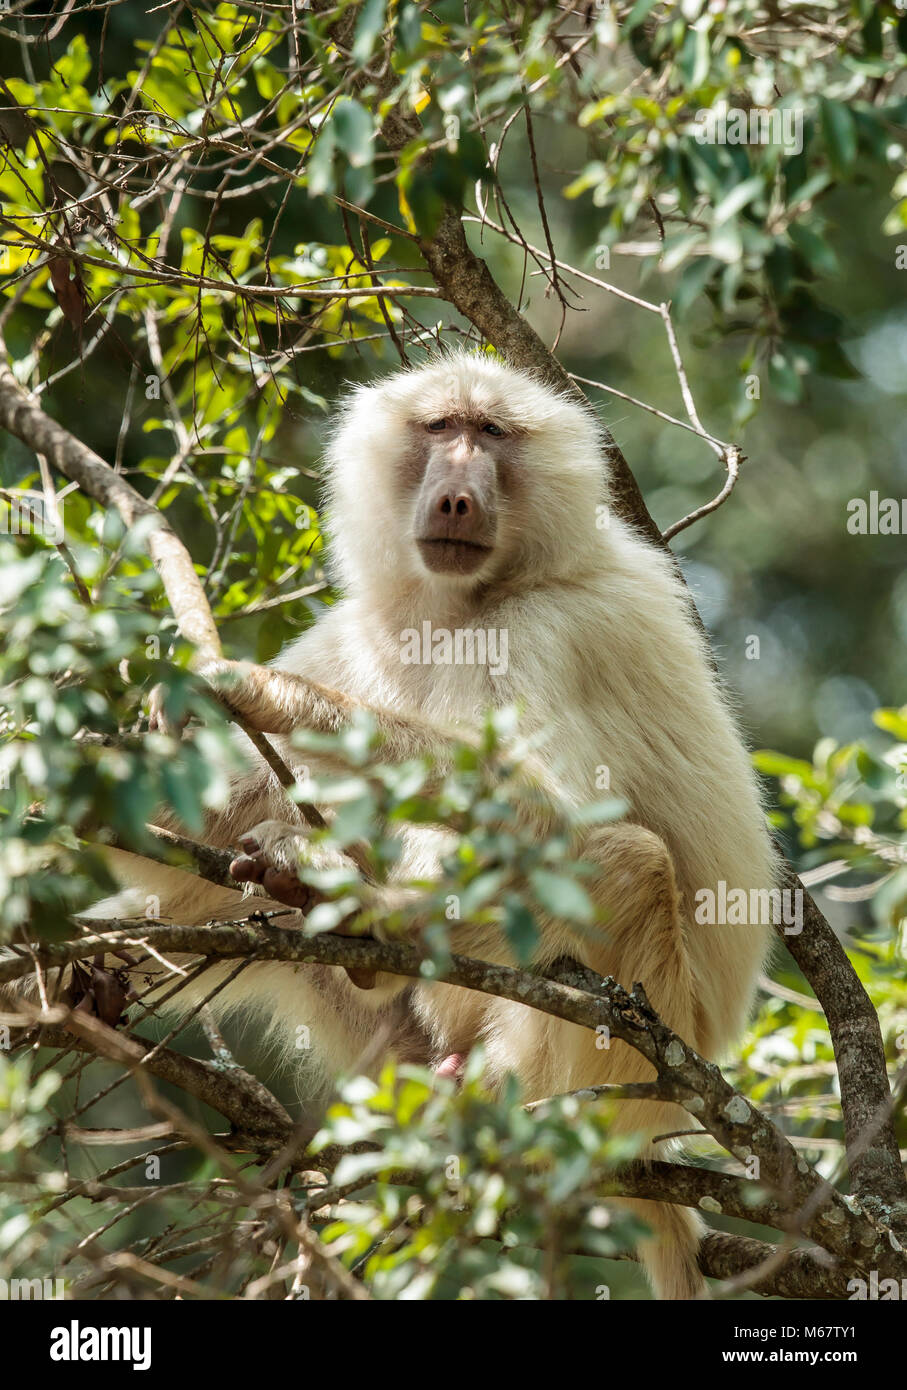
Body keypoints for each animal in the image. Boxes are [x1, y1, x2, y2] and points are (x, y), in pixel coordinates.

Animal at [76, 351, 776, 1299]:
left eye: (491, 433)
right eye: (441, 427)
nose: (455, 496)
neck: (465, 604)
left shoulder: (559, 628)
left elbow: (551, 807)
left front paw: (256, 690)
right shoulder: (358, 630)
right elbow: (174, 859)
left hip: (639, 1064)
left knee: (628, 866)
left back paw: (388, 949)